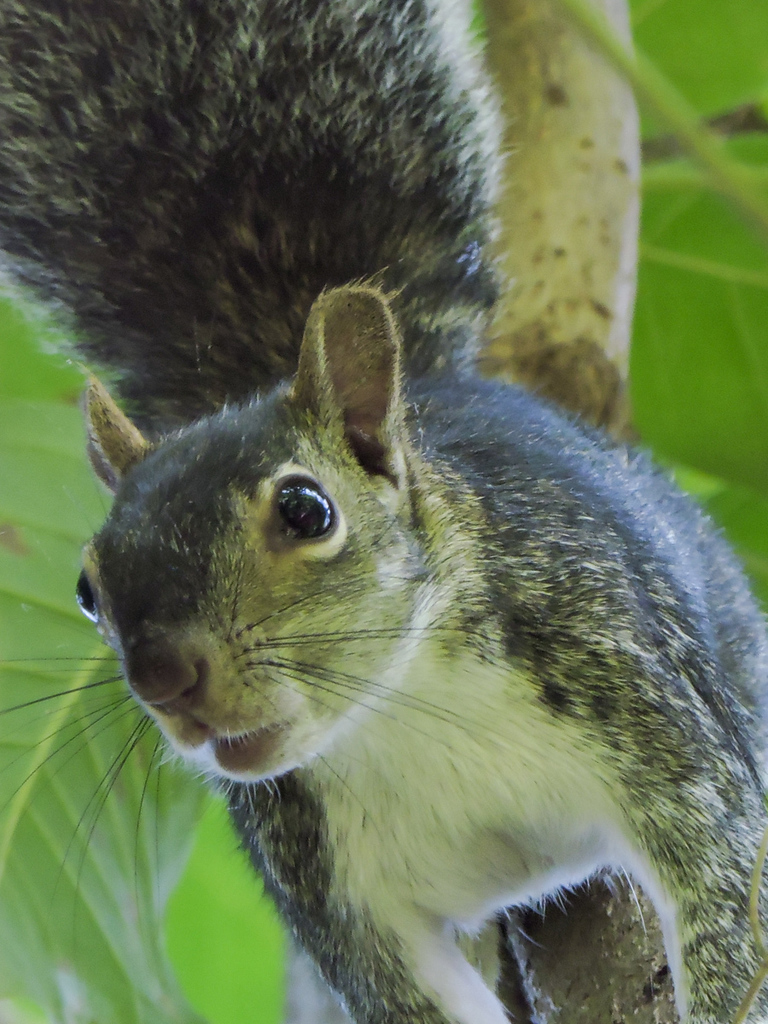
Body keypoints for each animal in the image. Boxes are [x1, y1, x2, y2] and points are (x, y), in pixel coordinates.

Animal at [1, 1, 767, 1023]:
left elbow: (723, 875)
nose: (164, 676)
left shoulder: (634, 690)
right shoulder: (331, 890)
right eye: (85, 588)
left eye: (305, 510)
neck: (401, 712)